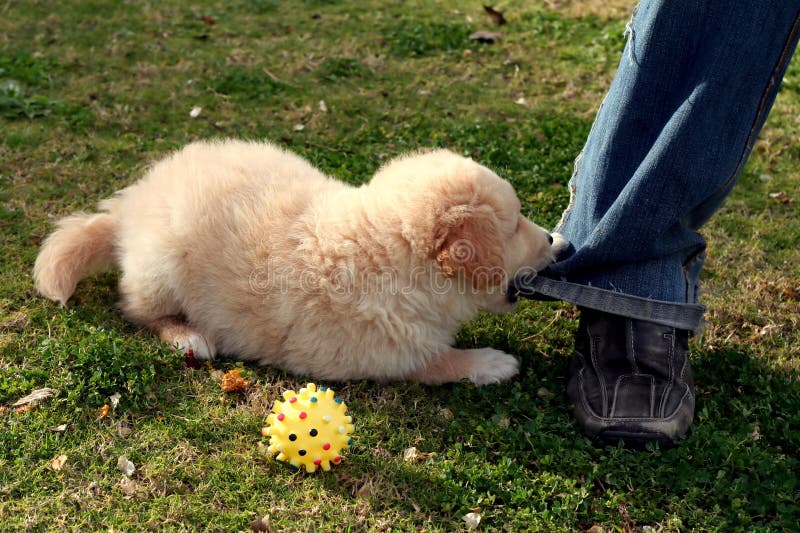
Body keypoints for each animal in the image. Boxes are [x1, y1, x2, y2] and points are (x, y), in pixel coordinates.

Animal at [32, 139, 556, 384]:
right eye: (514, 226)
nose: (558, 242)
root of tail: (132, 206)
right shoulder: (368, 354)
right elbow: (435, 362)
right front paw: (490, 362)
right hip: (161, 267)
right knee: (138, 311)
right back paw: (188, 336)